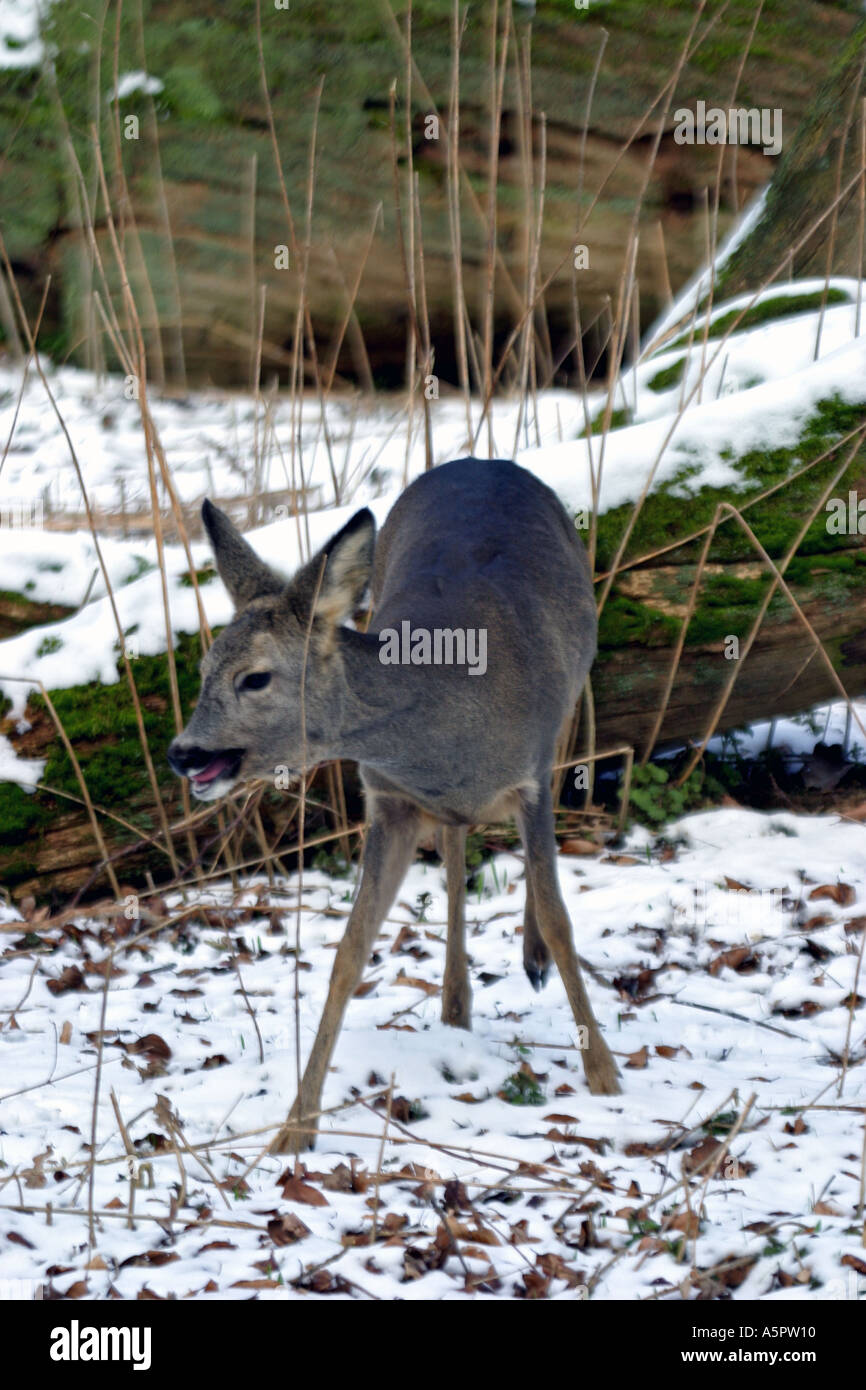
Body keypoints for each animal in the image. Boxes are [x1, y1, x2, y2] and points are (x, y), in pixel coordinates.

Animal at [167, 457, 621, 1152]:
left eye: (256, 678)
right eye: (201, 672)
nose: (183, 752)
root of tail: (486, 462)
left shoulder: (528, 779)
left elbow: (559, 916)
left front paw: (604, 1073)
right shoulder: (389, 803)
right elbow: (348, 955)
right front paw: (295, 1127)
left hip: (571, 687)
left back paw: (529, 961)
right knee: (458, 851)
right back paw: (455, 1006)